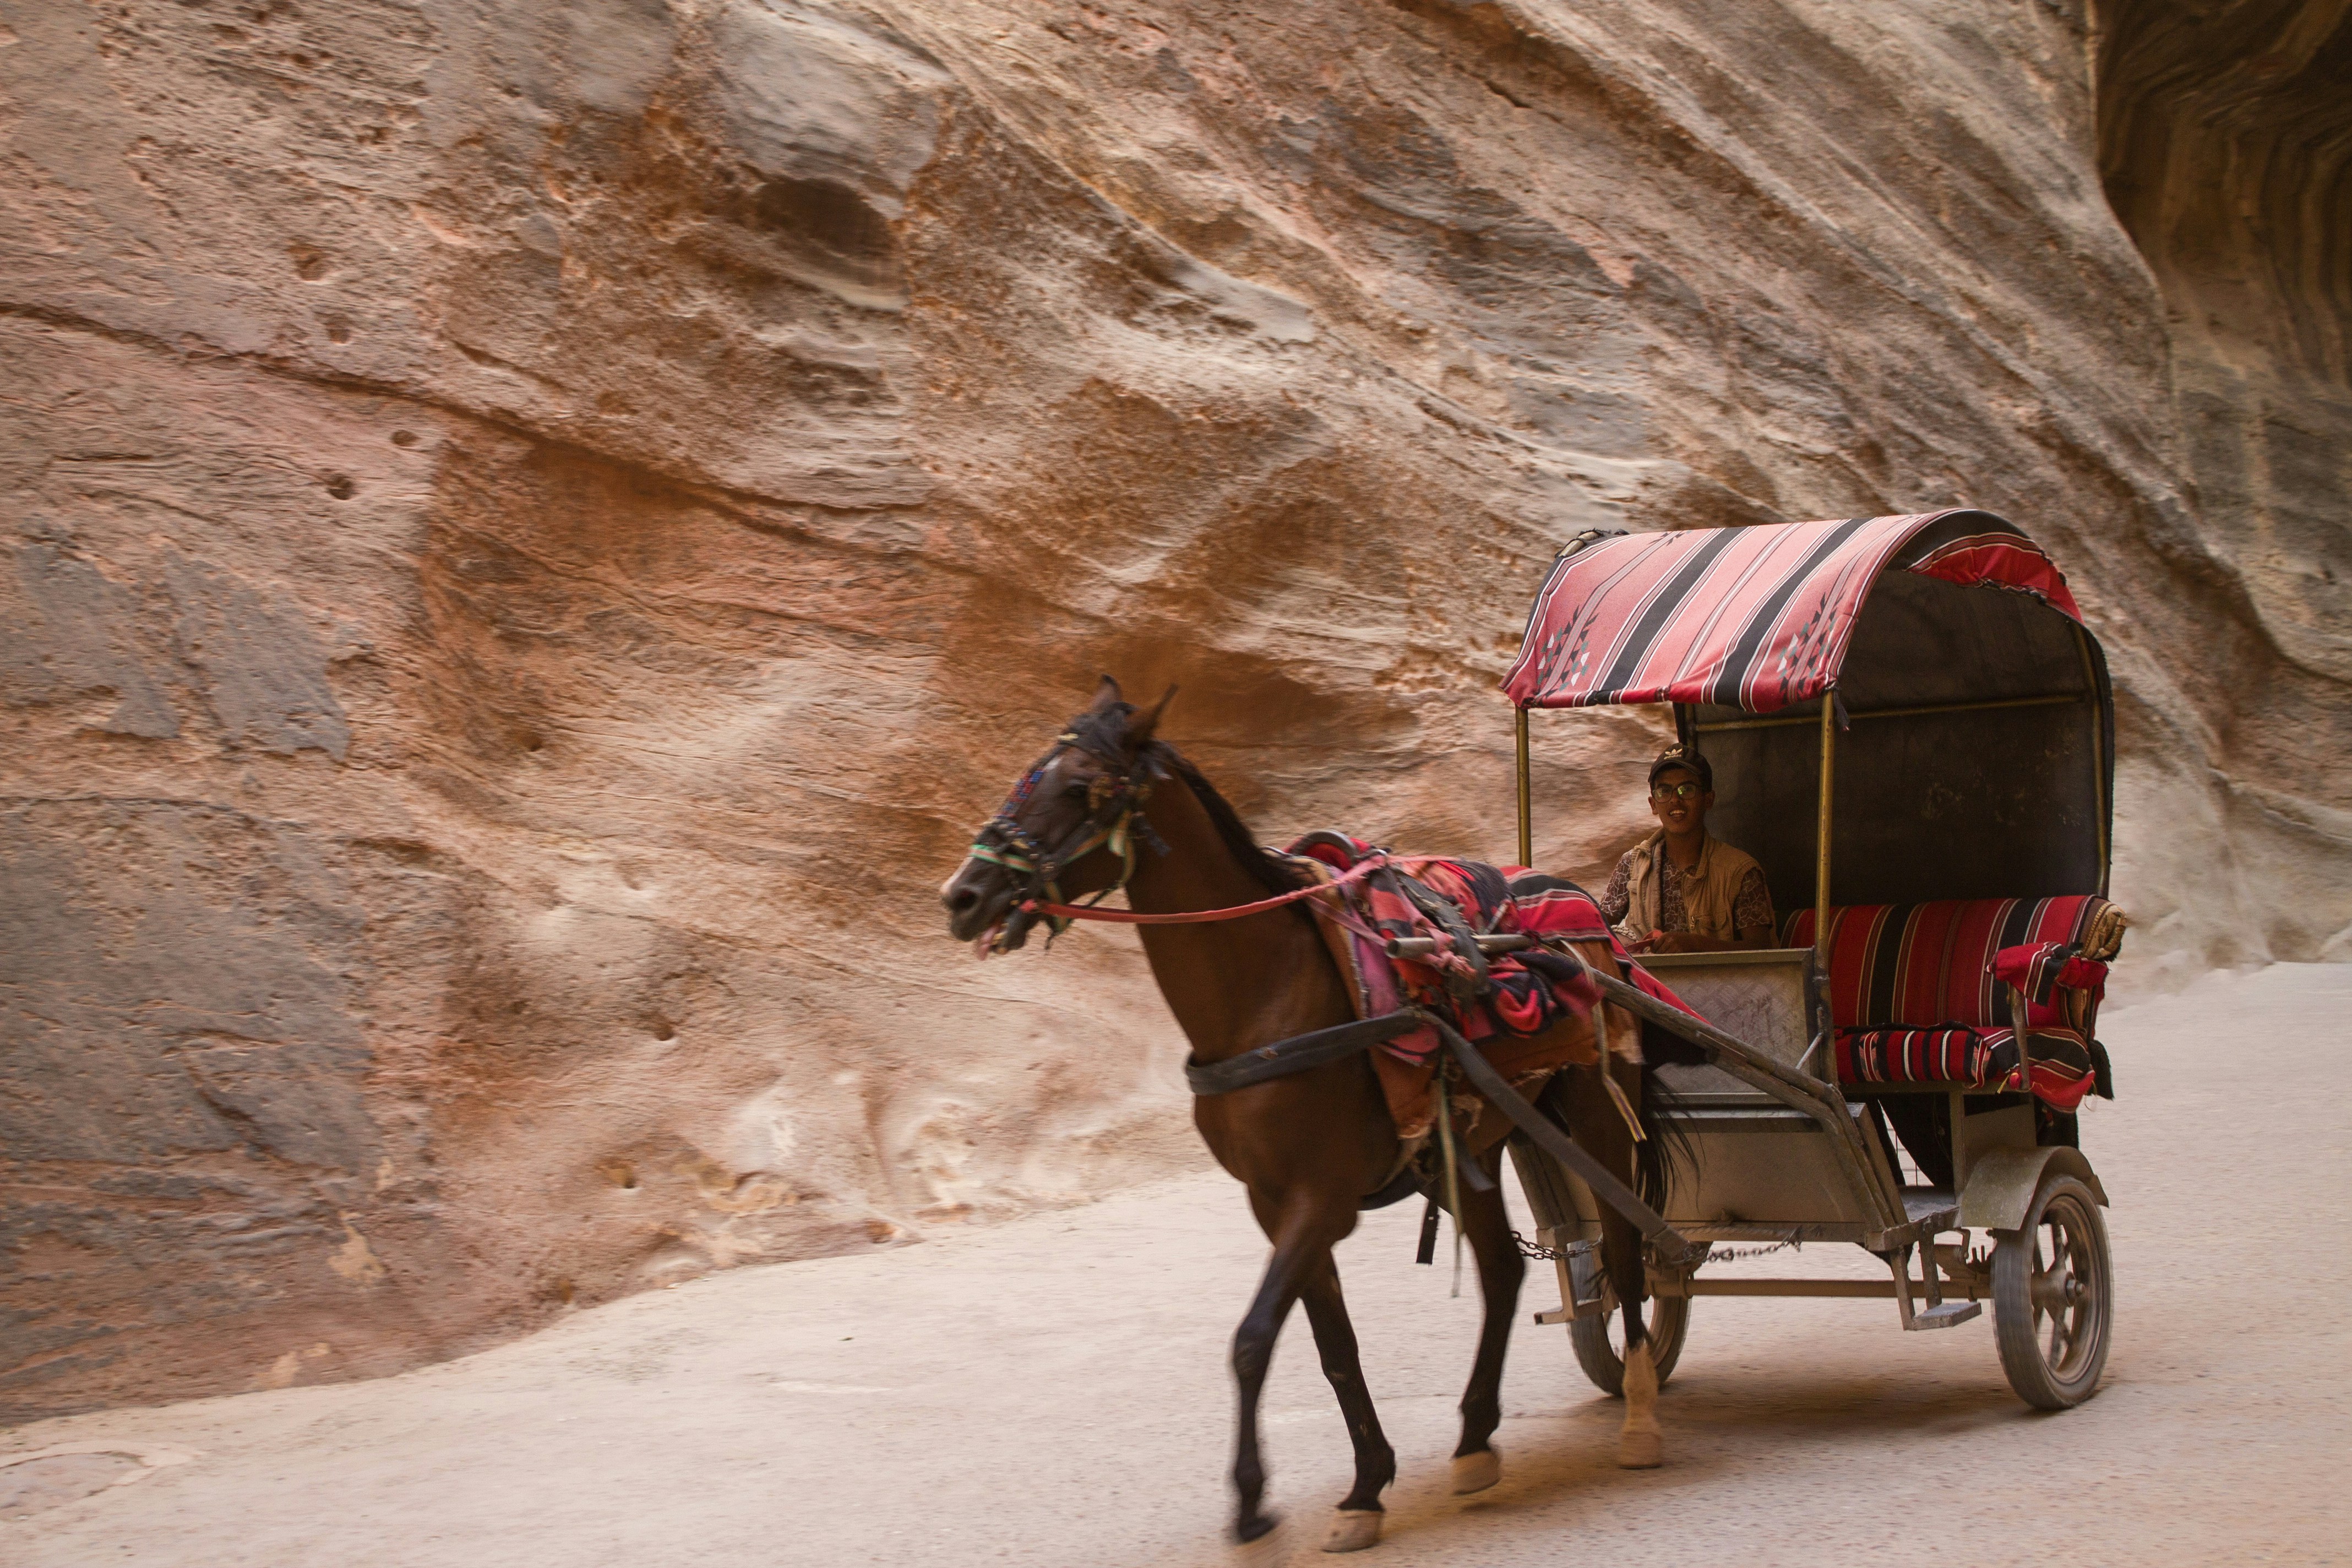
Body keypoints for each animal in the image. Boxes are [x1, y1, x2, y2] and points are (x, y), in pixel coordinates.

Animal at [940, 678, 1677, 1552]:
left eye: (1083, 787)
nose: (964, 896)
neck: (1262, 999)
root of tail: (1586, 910)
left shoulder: (1319, 1200)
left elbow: (1253, 1338)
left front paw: (1253, 1500)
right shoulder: (1275, 1202)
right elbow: (1333, 1347)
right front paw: (1363, 1488)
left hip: (1595, 1109)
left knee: (1628, 1246)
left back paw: (1639, 1415)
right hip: (1479, 1141)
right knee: (1503, 1271)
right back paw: (1472, 1439)